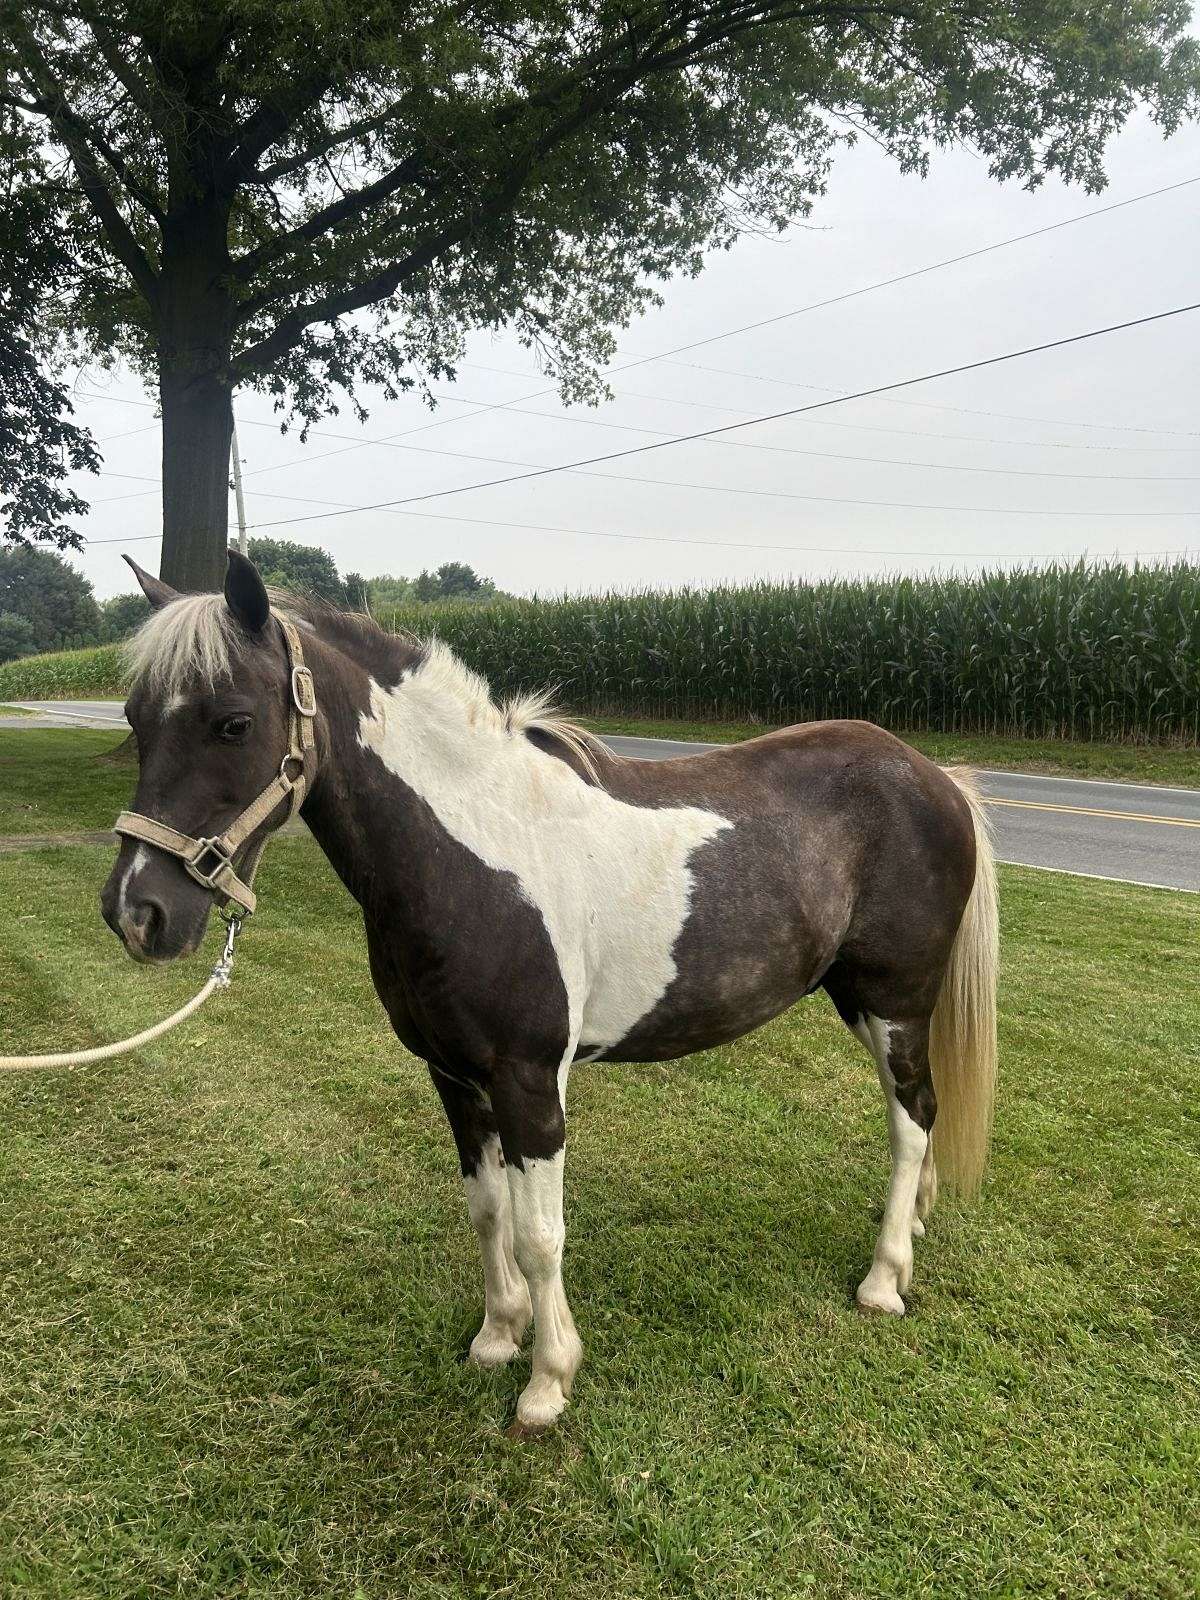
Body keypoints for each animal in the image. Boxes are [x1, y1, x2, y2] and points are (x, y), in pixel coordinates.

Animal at [102, 551, 998, 1431]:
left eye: (232, 722)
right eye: (137, 721)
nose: (136, 913)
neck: (476, 854)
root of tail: (935, 777)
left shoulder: (529, 1082)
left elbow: (540, 1235)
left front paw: (546, 1382)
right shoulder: (454, 1077)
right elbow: (487, 1210)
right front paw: (498, 1336)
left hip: (895, 1004)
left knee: (912, 1121)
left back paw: (883, 1279)